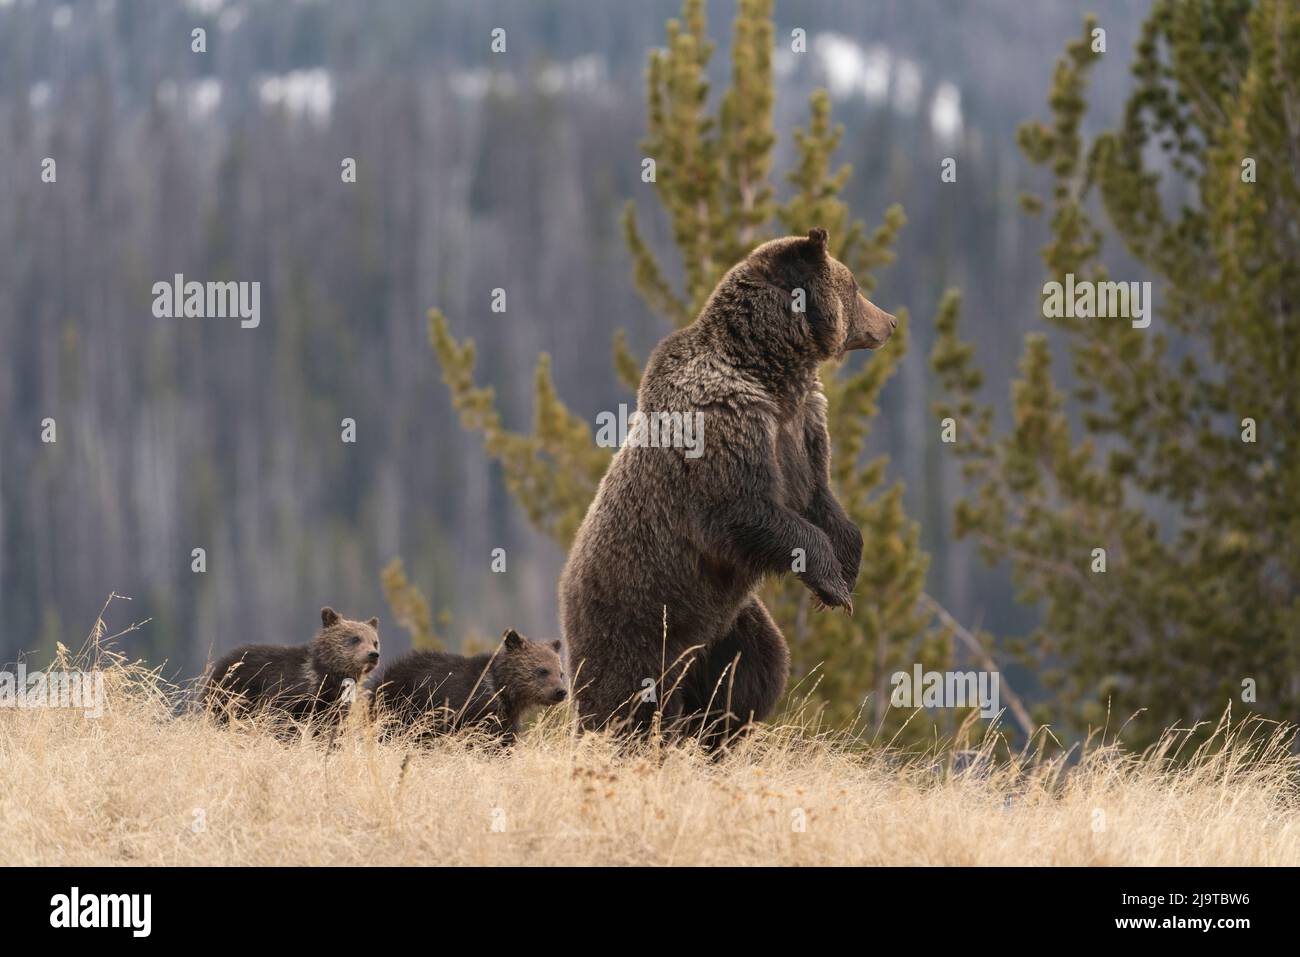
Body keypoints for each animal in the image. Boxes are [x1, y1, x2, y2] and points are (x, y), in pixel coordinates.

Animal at [204, 606, 380, 726]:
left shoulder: (334, 703)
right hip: (231, 690)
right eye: (355, 638)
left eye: (375, 641)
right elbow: (282, 719)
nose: (373, 655)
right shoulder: (288, 691)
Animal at [372, 629, 567, 745]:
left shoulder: (507, 720)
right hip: (400, 705)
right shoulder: (474, 713)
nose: (561, 691)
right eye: (542, 670)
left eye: (561, 672)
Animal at [559, 227, 896, 745]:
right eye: (855, 286)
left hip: (728, 624)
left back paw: (713, 733)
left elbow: (820, 499)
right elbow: (744, 510)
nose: (891, 322)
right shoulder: (726, 423)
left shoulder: (803, 428)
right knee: (627, 698)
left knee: (758, 666)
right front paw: (833, 585)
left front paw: (848, 568)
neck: (773, 372)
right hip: (639, 616)